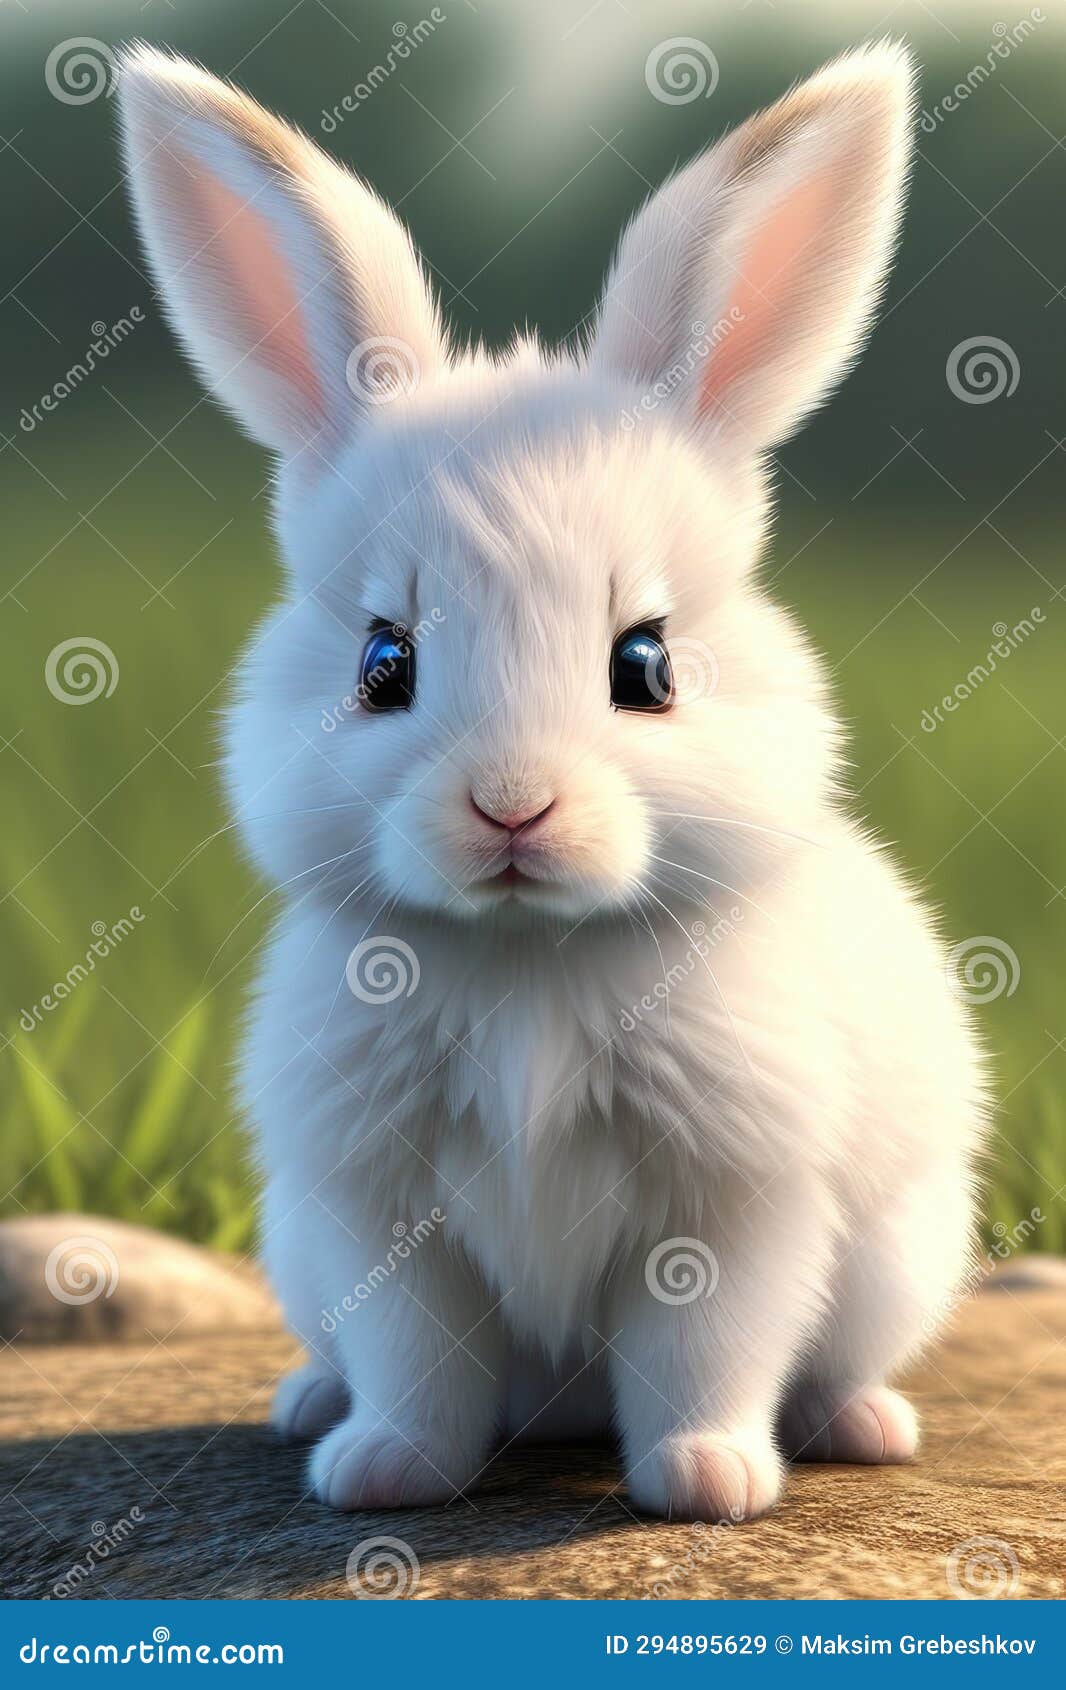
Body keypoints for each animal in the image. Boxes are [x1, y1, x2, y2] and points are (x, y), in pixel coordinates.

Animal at [117, 39, 988, 1522]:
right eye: (384, 660)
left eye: (646, 663)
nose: (509, 807)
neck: (530, 961)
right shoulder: (381, 1212)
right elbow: (417, 1355)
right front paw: (386, 1472)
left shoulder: (734, 1203)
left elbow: (705, 1344)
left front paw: (705, 1478)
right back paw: (308, 1406)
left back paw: (862, 1423)